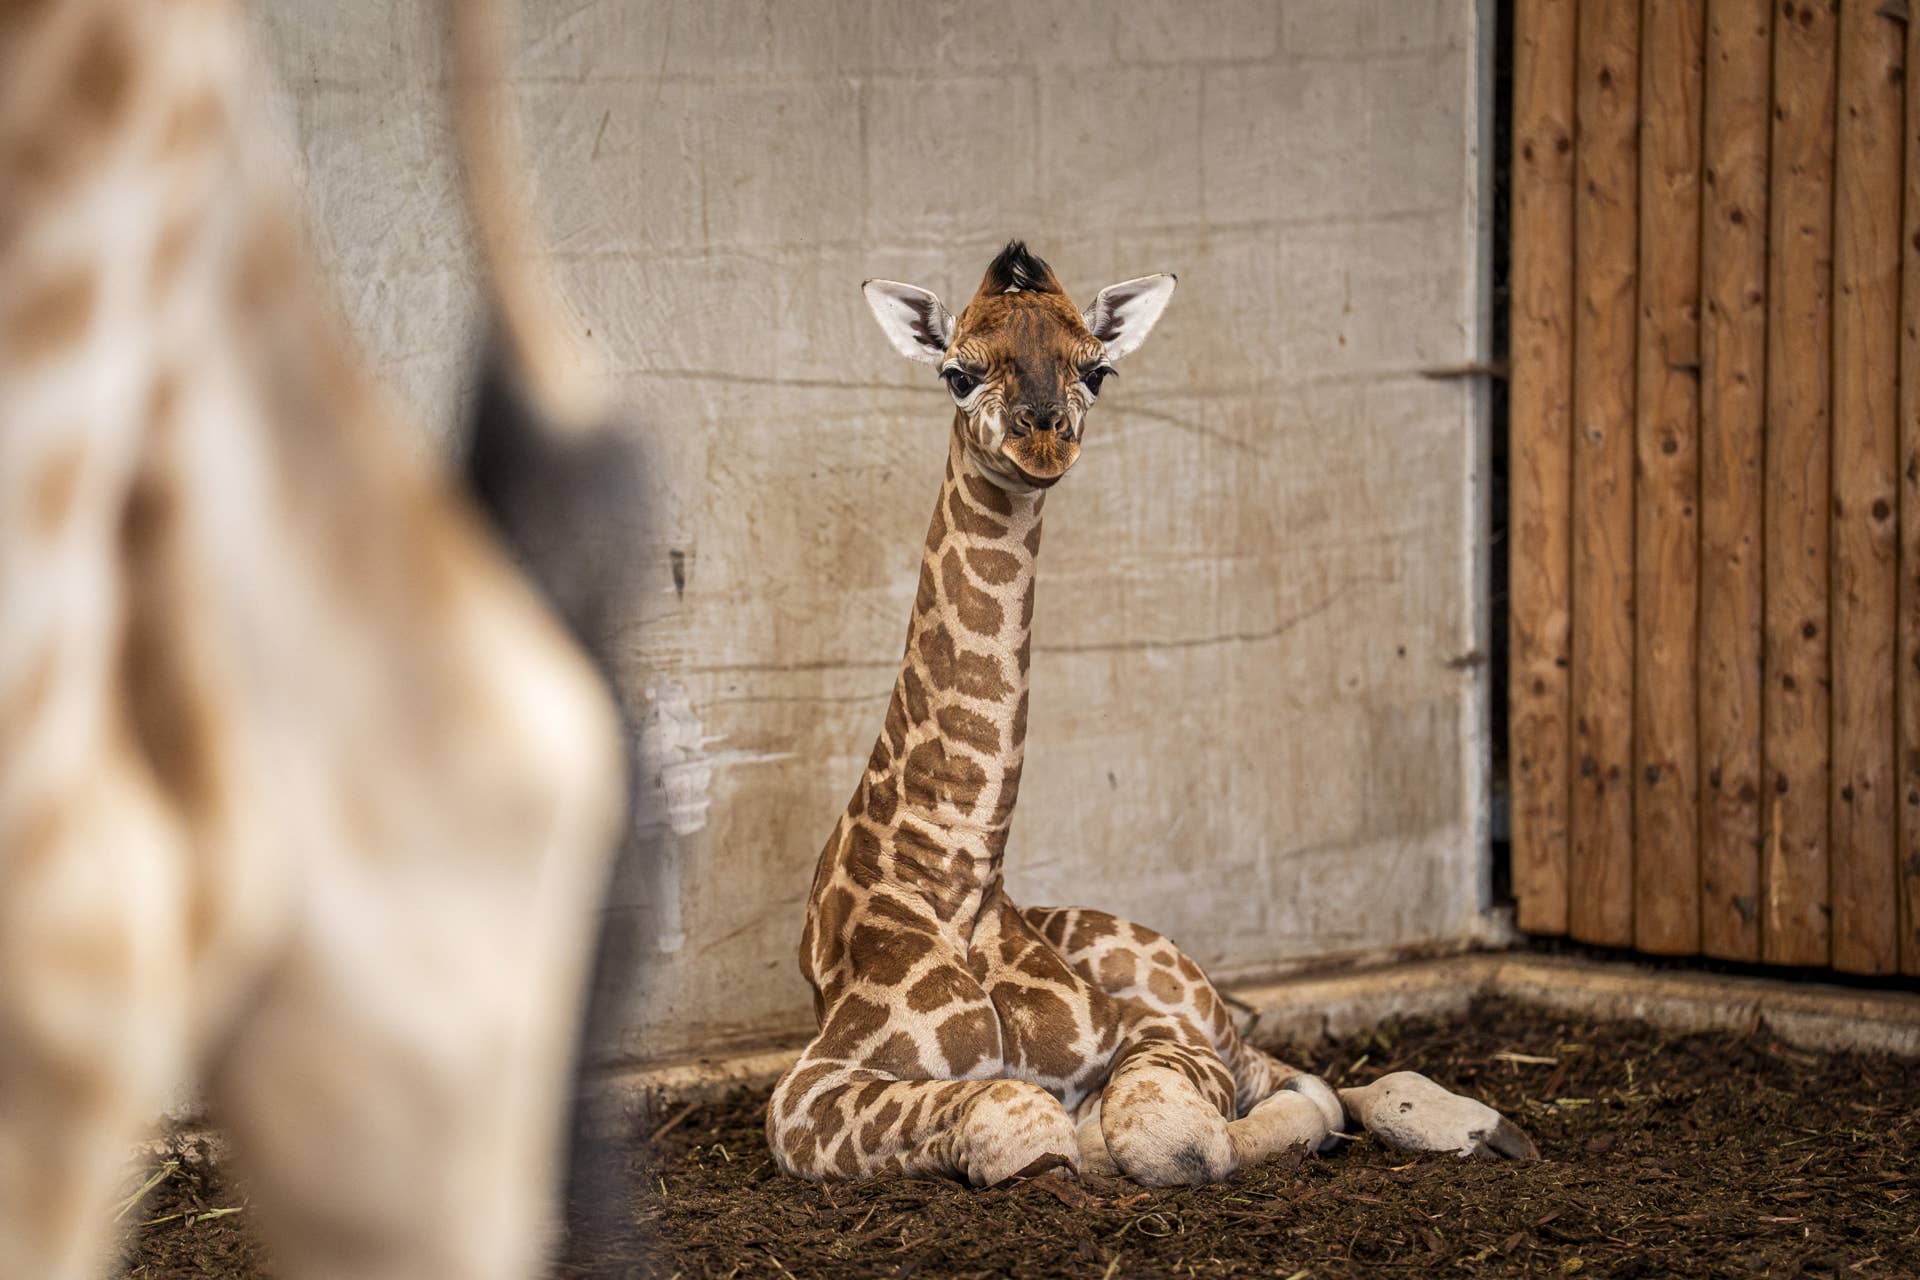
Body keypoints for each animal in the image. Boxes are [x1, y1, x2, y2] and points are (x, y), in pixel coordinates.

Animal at [766, 243, 1538, 1187]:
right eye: (957, 372)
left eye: (1096, 369)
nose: (1042, 438)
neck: (955, 873)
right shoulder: (806, 1088)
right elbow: (1024, 1115)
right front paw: (1076, 1139)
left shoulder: (1149, 1032)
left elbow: (1171, 1131)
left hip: (1183, 986)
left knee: (1301, 1076)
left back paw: (1479, 1125)